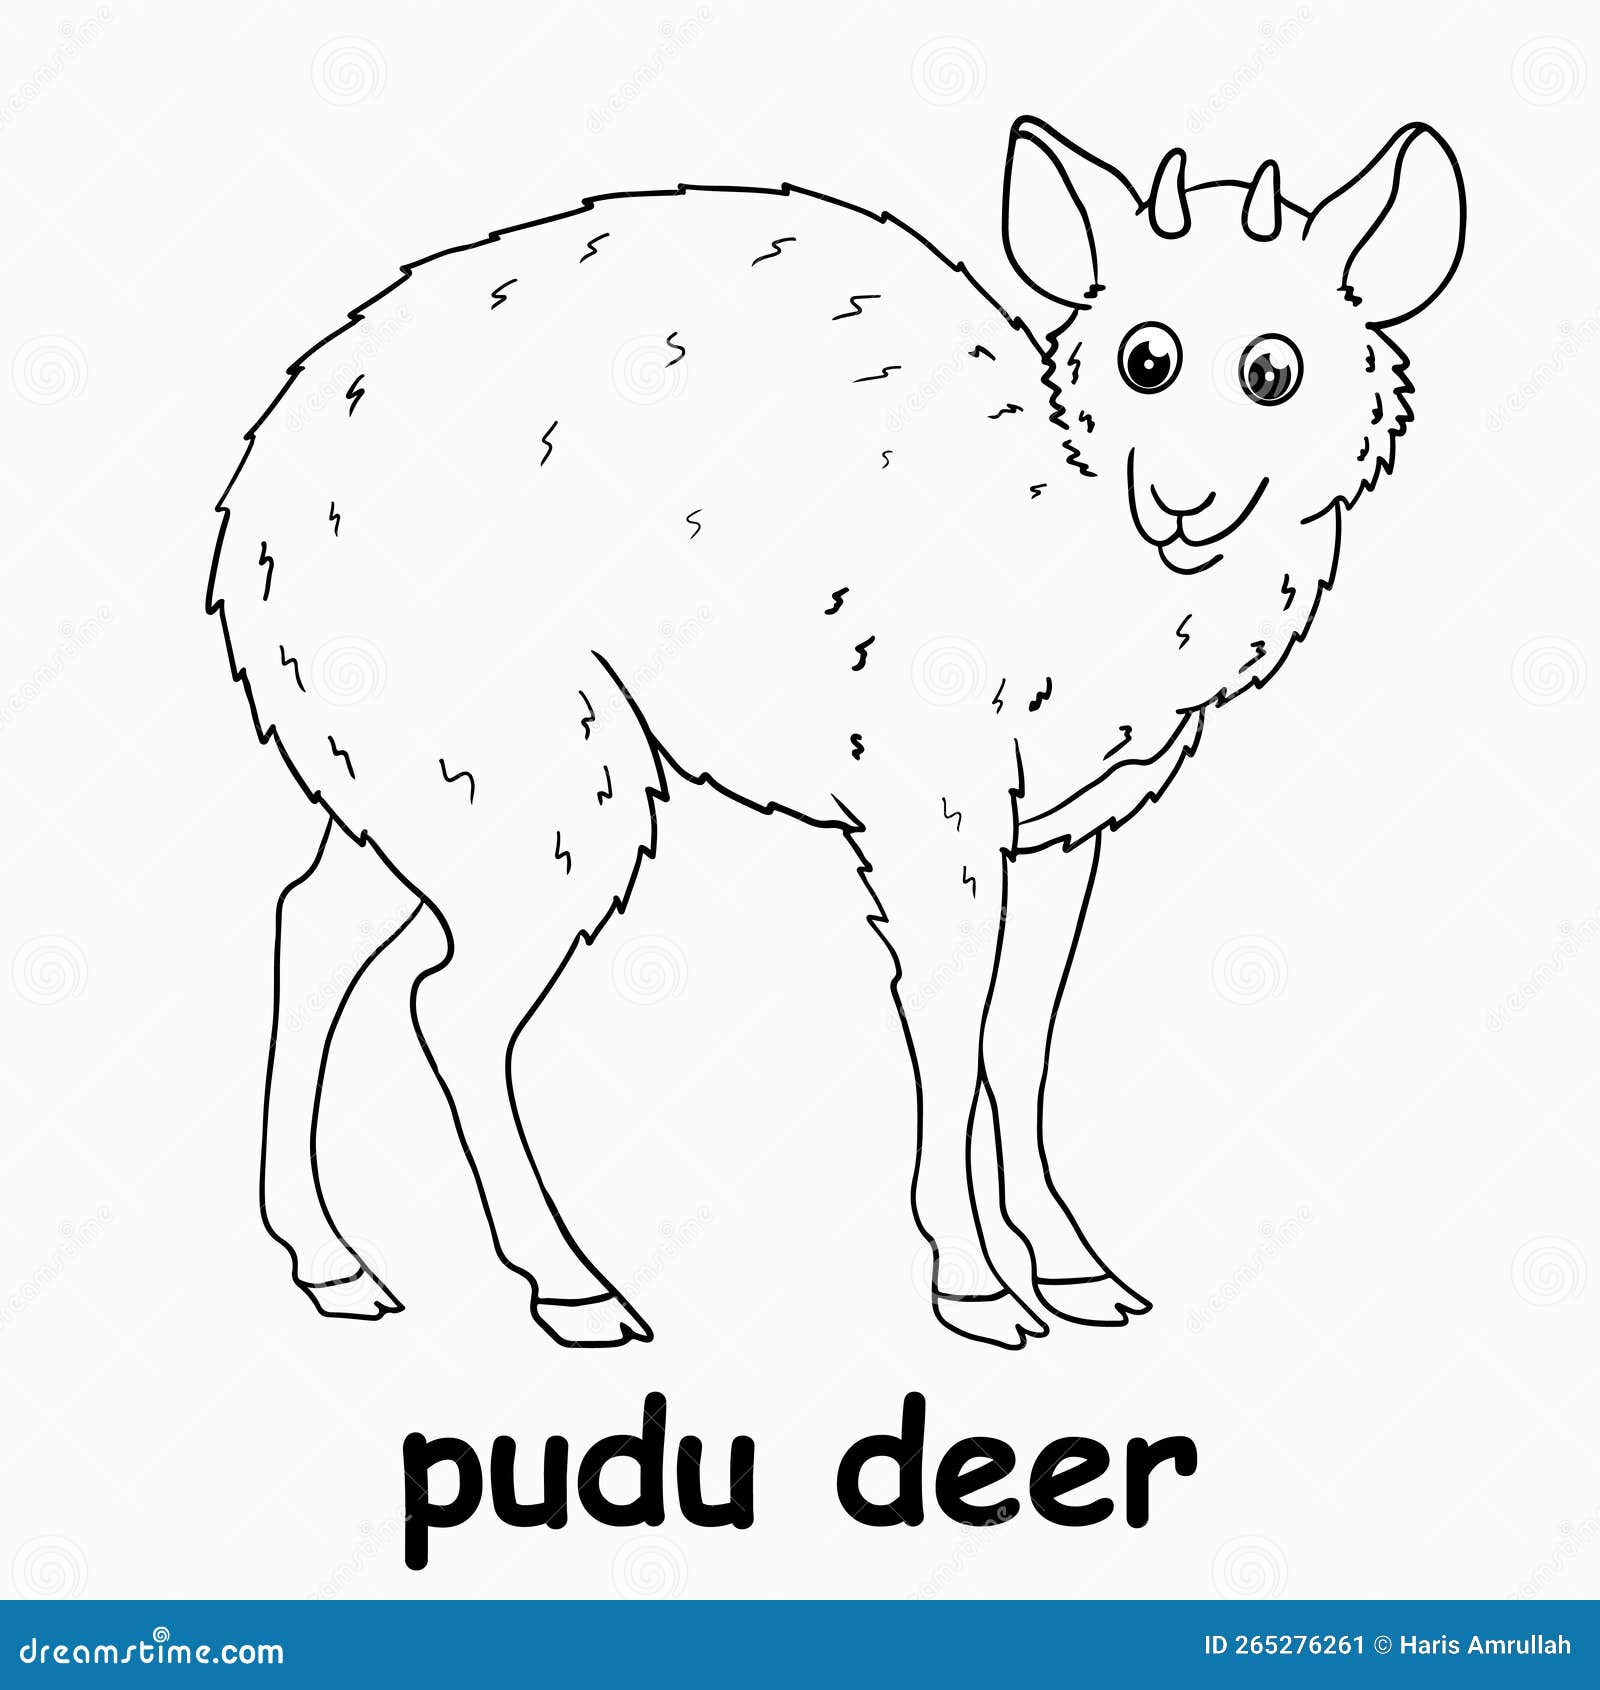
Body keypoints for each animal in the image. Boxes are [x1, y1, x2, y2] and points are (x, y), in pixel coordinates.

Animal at [207, 117, 1465, 1349]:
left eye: (1272, 369)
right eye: (1143, 358)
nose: (1182, 500)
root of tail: (246, 535)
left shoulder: (1062, 827)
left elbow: (1022, 1033)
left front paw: (1079, 1274)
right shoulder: (931, 806)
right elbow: (948, 1025)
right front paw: (975, 1288)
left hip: (426, 773)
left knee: (314, 922)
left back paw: (333, 1264)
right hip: (546, 765)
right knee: (451, 1001)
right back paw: (575, 1292)